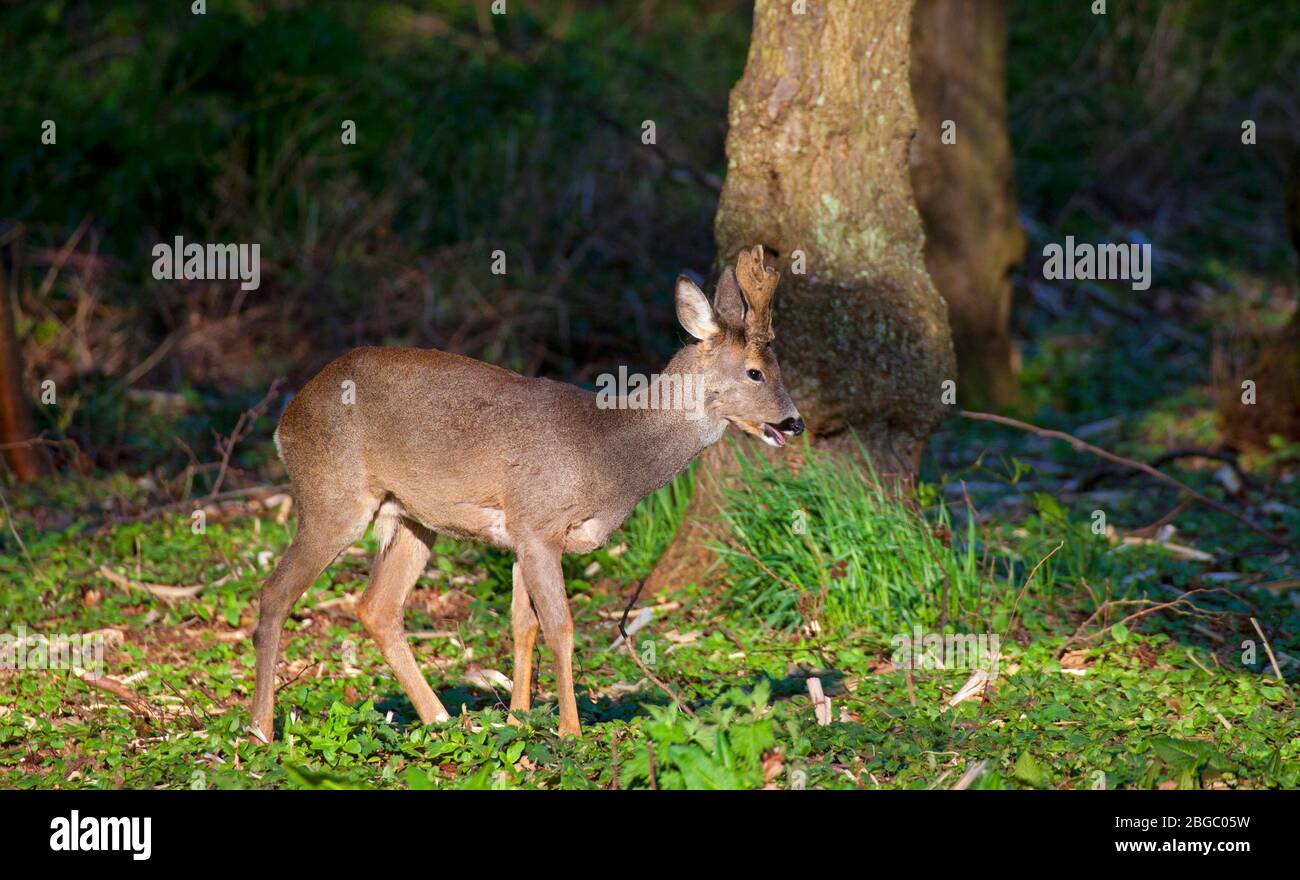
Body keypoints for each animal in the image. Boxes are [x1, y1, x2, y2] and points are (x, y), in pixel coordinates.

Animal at [250, 245, 803, 742]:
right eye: (754, 371)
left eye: (778, 368)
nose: (794, 422)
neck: (609, 454)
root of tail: (285, 422)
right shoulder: (539, 523)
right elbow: (560, 627)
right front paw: (570, 729)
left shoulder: (520, 532)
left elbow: (523, 624)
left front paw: (517, 719)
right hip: (333, 498)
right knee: (275, 593)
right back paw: (261, 730)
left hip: (411, 518)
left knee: (377, 608)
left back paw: (440, 718)